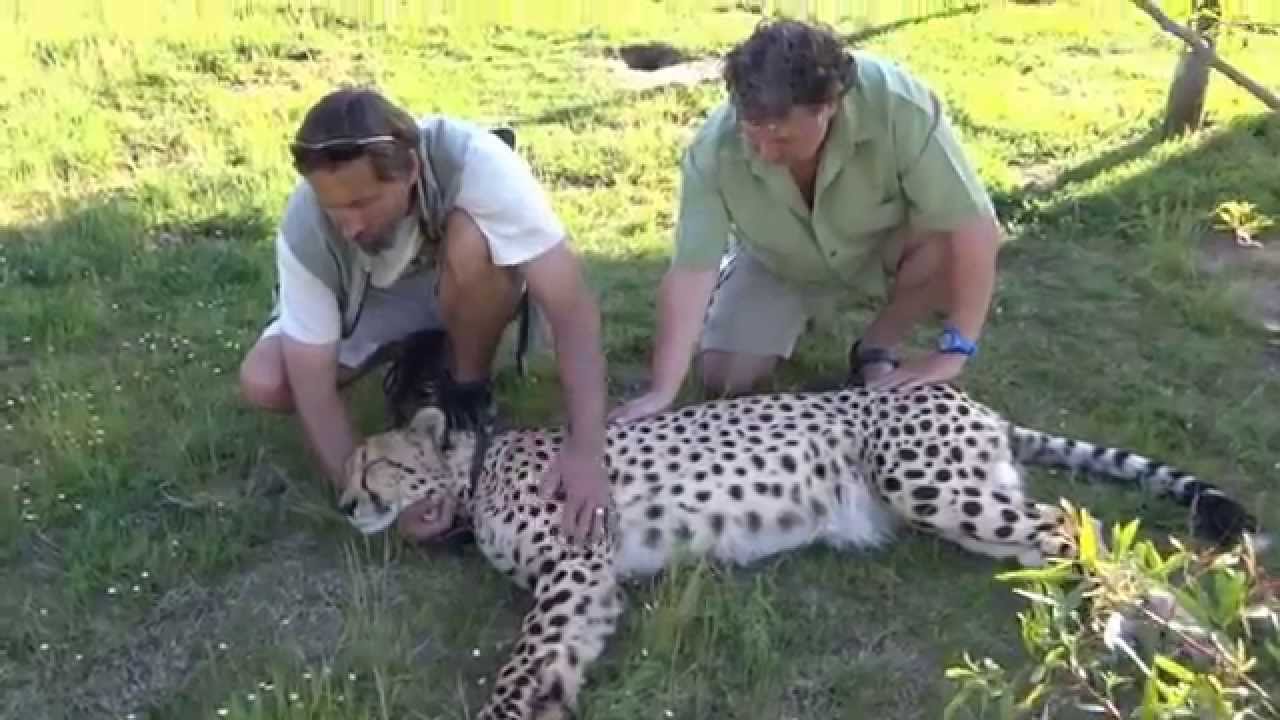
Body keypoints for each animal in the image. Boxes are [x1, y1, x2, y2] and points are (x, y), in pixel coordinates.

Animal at [337, 383, 1261, 720]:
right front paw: (548, 703)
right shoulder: (589, 586)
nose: (345, 501)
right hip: (960, 513)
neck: (476, 470)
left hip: (933, 484)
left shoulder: (575, 564)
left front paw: (507, 707)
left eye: (372, 464)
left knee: (1086, 530)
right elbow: (558, 654)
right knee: (1059, 536)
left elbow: (526, 653)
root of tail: (963, 396)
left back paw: (1192, 635)